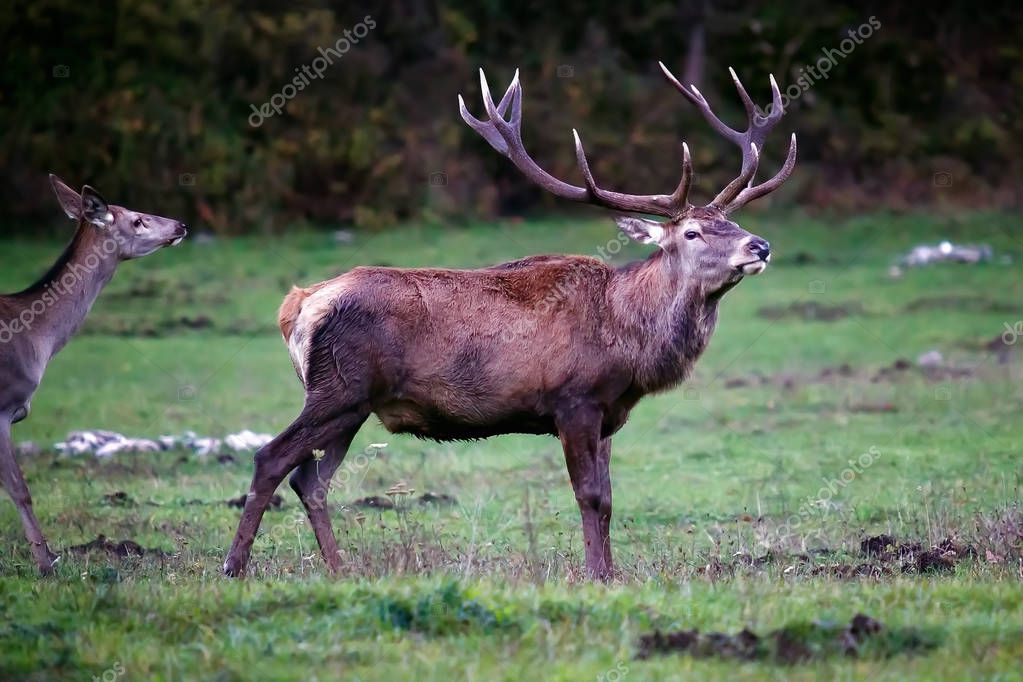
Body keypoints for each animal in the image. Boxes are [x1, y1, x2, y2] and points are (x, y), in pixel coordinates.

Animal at [0, 176, 188, 574]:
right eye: (137, 220)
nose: (180, 225)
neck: (35, 337)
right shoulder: (2, 406)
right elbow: (20, 488)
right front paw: (47, 563)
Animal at [224, 62, 796, 581]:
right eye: (693, 233)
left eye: (733, 222)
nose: (760, 245)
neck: (628, 339)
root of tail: (299, 305)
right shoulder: (573, 399)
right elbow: (590, 496)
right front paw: (596, 575)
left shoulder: (609, 412)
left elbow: (610, 497)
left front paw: (612, 572)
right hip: (338, 389)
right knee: (271, 458)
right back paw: (235, 567)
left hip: (352, 404)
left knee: (311, 480)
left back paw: (340, 570)